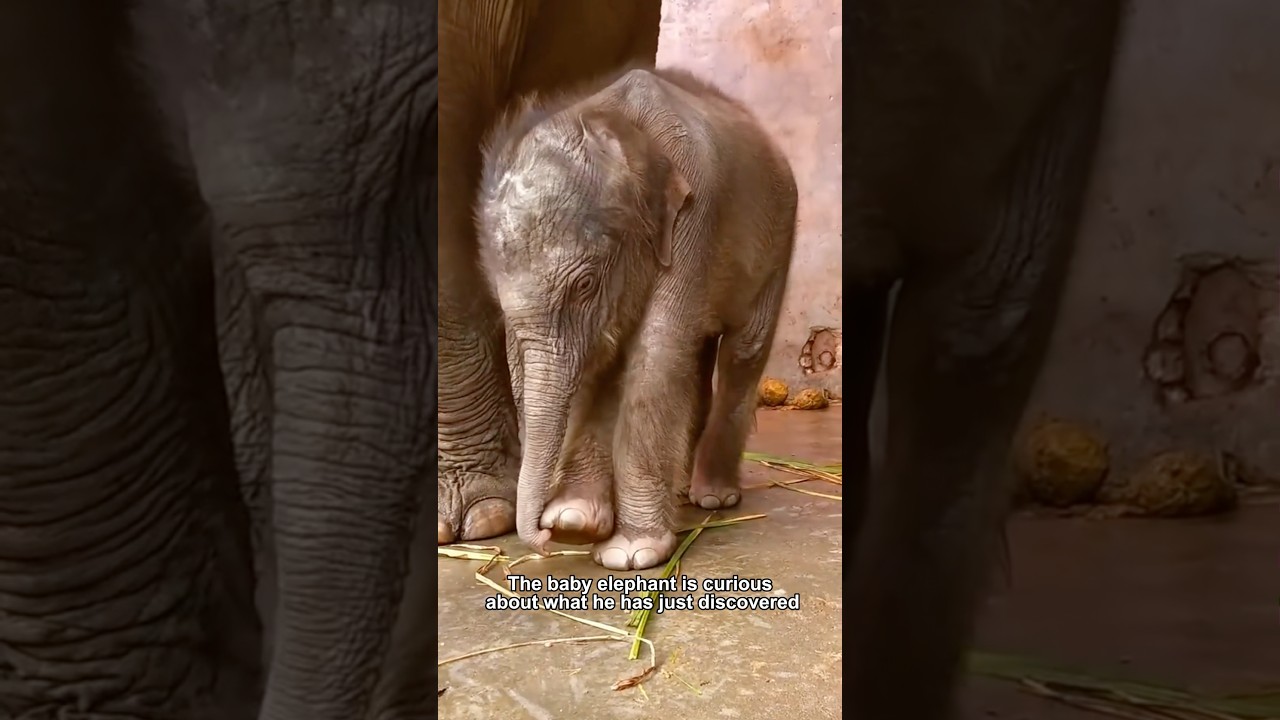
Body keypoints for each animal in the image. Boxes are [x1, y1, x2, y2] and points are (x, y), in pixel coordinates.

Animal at [474, 67, 797, 571]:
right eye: (498, 300)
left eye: (585, 284)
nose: (543, 537)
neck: (614, 124)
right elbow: (601, 365)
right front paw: (575, 522)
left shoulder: (696, 215)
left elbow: (653, 356)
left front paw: (631, 551)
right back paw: (681, 490)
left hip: (779, 238)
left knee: (741, 352)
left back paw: (712, 497)